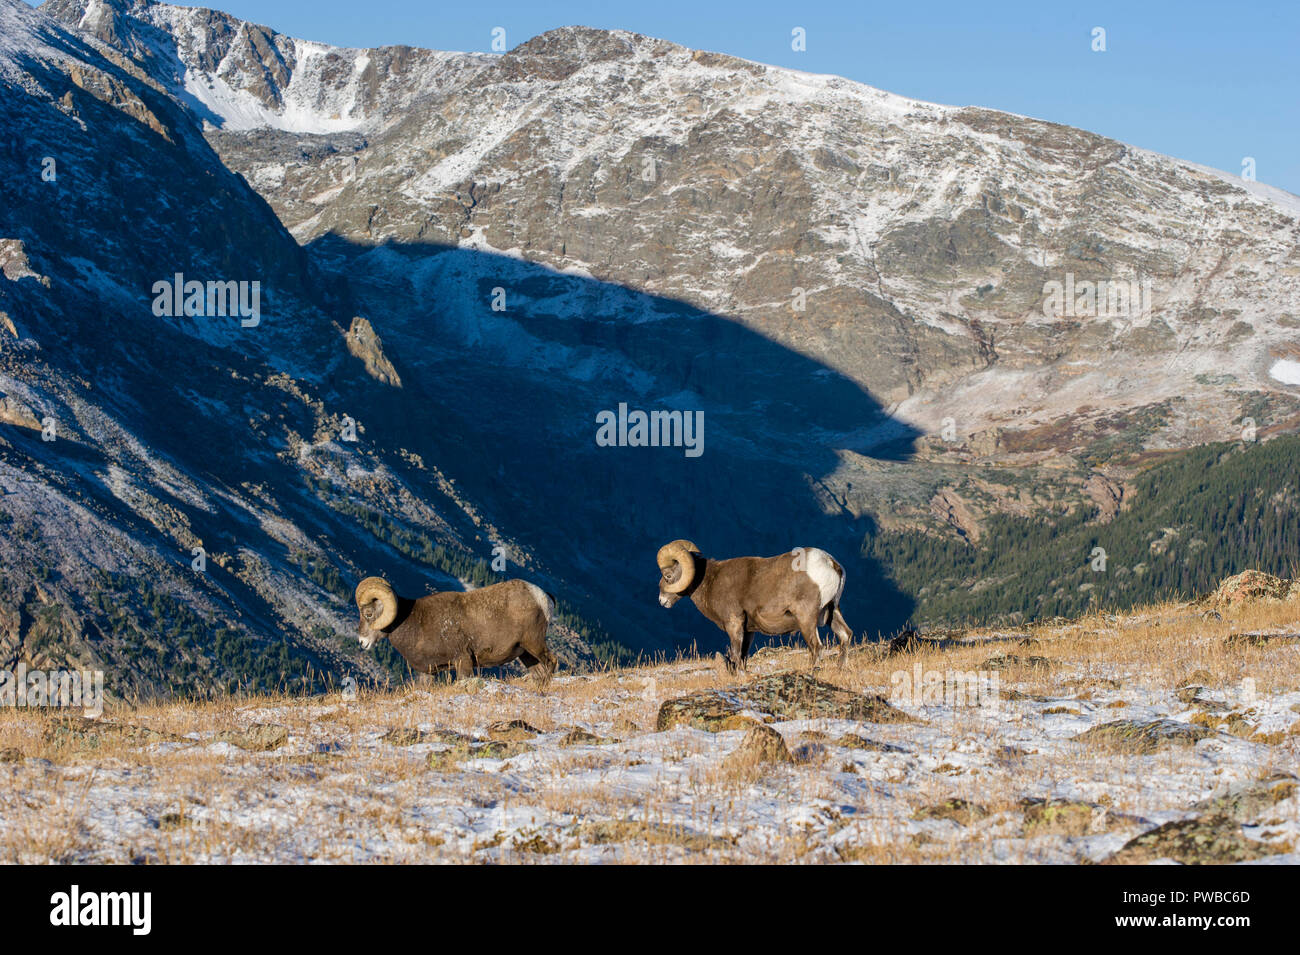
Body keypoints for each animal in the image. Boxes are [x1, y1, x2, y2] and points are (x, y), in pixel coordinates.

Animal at [354, 576, 558, 686]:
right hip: (526, 654)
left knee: (552, 662)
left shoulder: (463, 661)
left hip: (534, 643)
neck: (414, 623)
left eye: (368, 613)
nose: (362, 642)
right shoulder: (428, 673)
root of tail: (543, 596)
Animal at [655, 539, 853, 672]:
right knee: (845, 635)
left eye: (667, 576)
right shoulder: (749, 630)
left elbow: (736, 654)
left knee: (816, 647)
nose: (661, 601)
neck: (711, 582)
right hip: (832, 611)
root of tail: (831, 564)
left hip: (806, 618)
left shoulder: (734, 624)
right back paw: (840, 669)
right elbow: (743, 656)